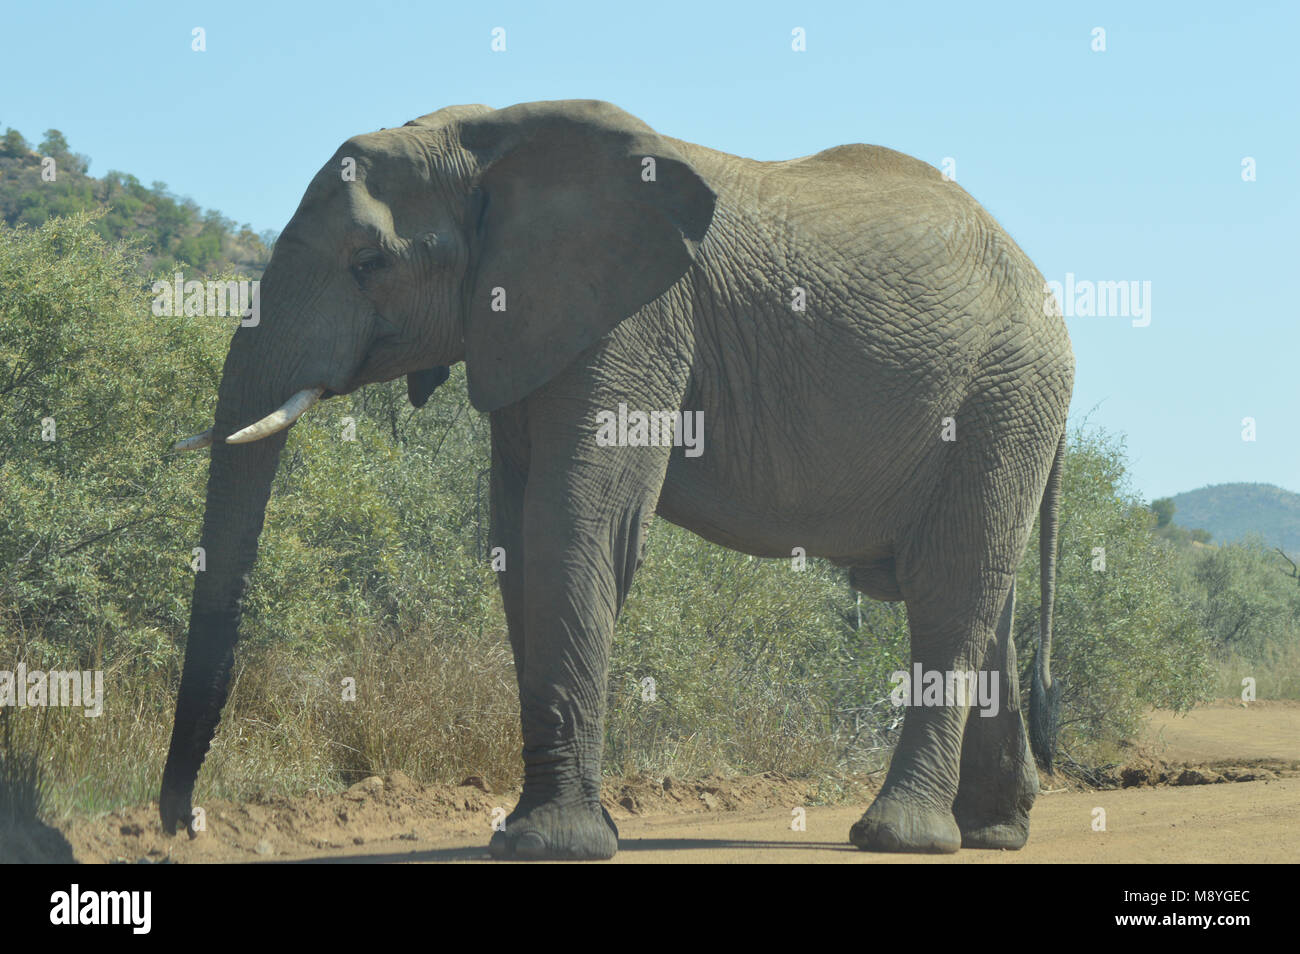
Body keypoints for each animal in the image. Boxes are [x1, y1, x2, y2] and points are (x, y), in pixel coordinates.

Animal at [162, 99, 1073, 860]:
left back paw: (901, 836)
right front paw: (532, 834)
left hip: (1005, 394)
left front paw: (552, 844)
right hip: (1004, 410)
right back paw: (994, 832)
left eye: (368, 263)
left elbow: (574, 525)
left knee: (950, 587)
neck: (488, 139)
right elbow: (515, 540)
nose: (180, 825)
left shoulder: (636, 321)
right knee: (981, 597)